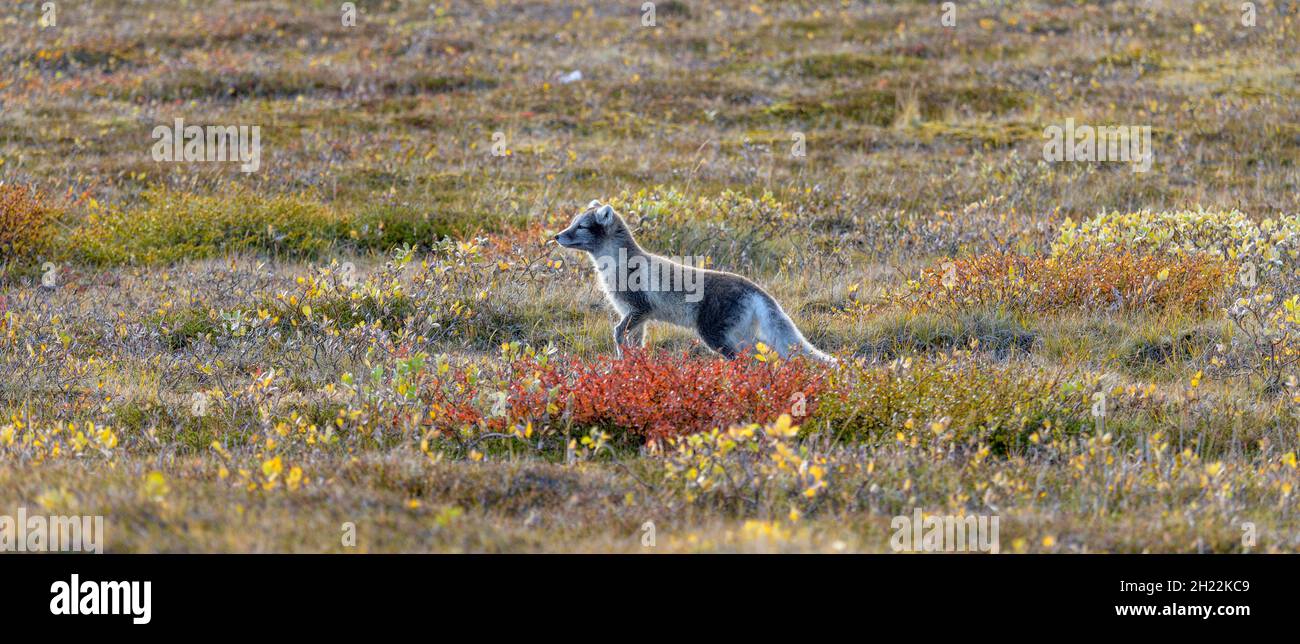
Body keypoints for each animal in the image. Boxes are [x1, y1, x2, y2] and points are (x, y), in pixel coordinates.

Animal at [554, 200, 835, 363]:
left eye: (581, 226)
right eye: (573, 222)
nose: (556, 236)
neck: (615, 265)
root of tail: (755, 288)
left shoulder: (639, 308)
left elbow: (617, 332)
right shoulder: (637, 316)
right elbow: (634, 342)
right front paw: (630, 365)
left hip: (715, 336)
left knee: (743, 360)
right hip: (744, 336)